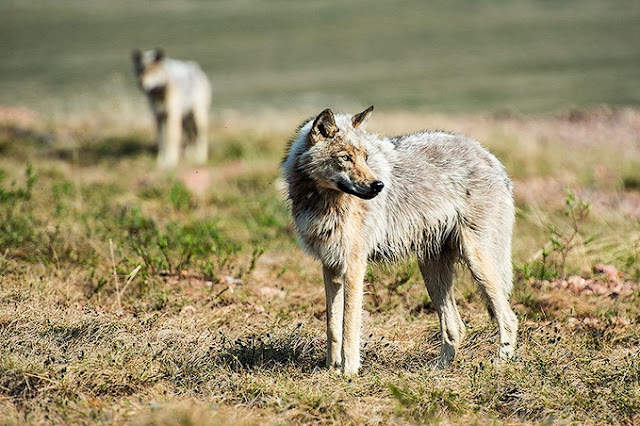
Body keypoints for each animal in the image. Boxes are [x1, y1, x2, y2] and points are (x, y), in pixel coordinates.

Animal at [281, 106, 518, 376]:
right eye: (345, 158)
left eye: (365, 157)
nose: (378, 186)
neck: (323, 202)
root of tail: (491, 158)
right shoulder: (330, 265)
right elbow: (333, 327)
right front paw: (331, 370)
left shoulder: (354, 266)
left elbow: (350, 326)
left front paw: (349, 372)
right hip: (432, 272)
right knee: (456, 327)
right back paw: (436, 372)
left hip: (478, 263)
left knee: (508, 318)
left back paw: (499, 364)